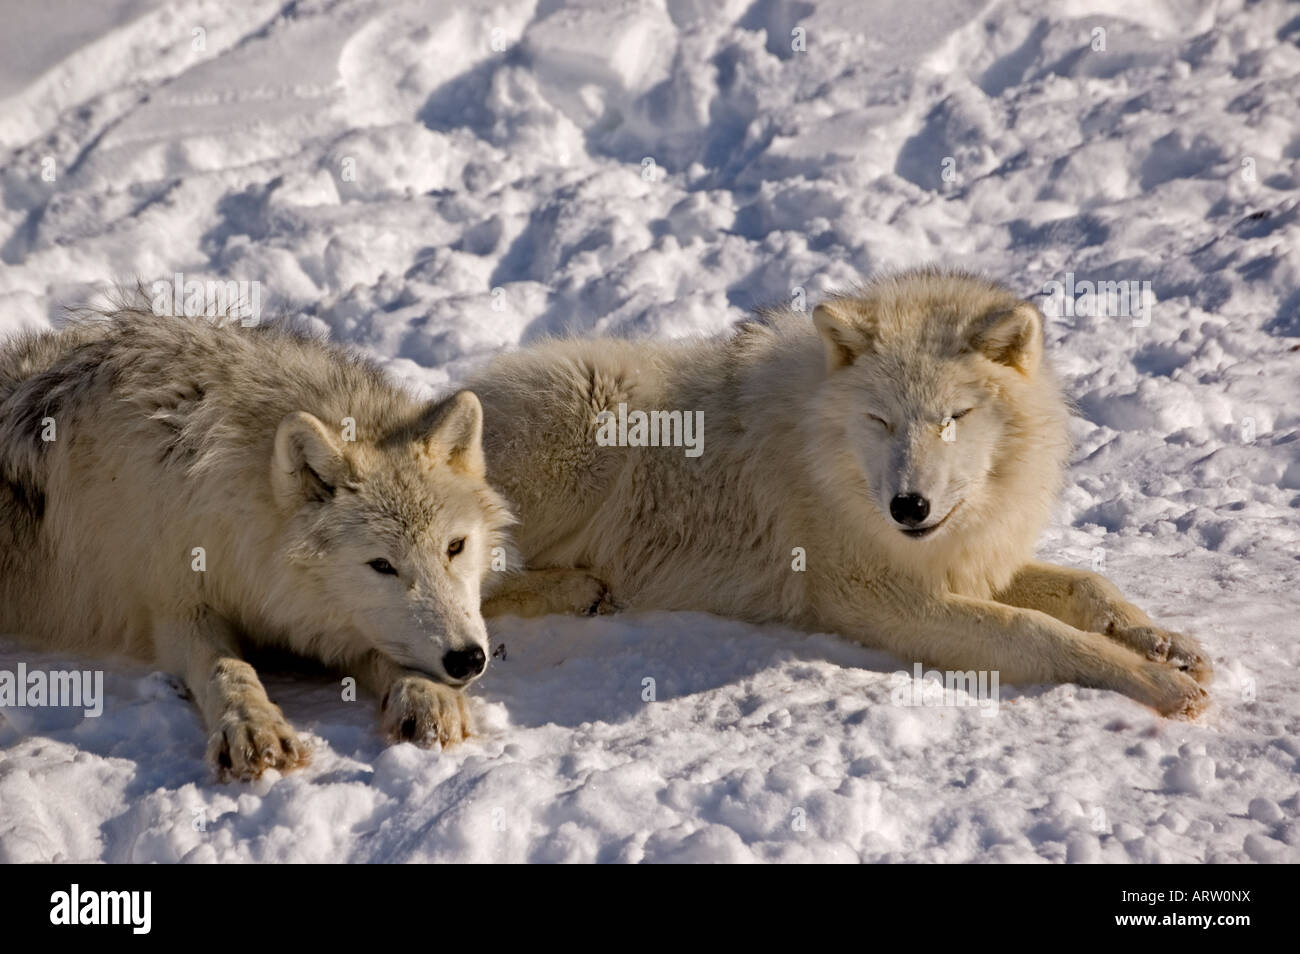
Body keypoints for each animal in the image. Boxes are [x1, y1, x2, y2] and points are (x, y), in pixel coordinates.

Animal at [0, 305, 521, 779]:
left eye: (455, 547)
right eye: (382, 565)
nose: (467, 659)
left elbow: (386, 651)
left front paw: (425, 695)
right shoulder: (175, 607)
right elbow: (226, 669)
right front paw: (253, 729)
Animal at [468, 268, 1211, 716]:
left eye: (953, 417)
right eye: (880, 420)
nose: (908, 507)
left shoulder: (966, 560)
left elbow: (1089, 586)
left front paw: (1167, 645)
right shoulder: (875, 596)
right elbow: (1034, 629)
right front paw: (1158, 683)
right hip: (597, 409)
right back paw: (578, 590)